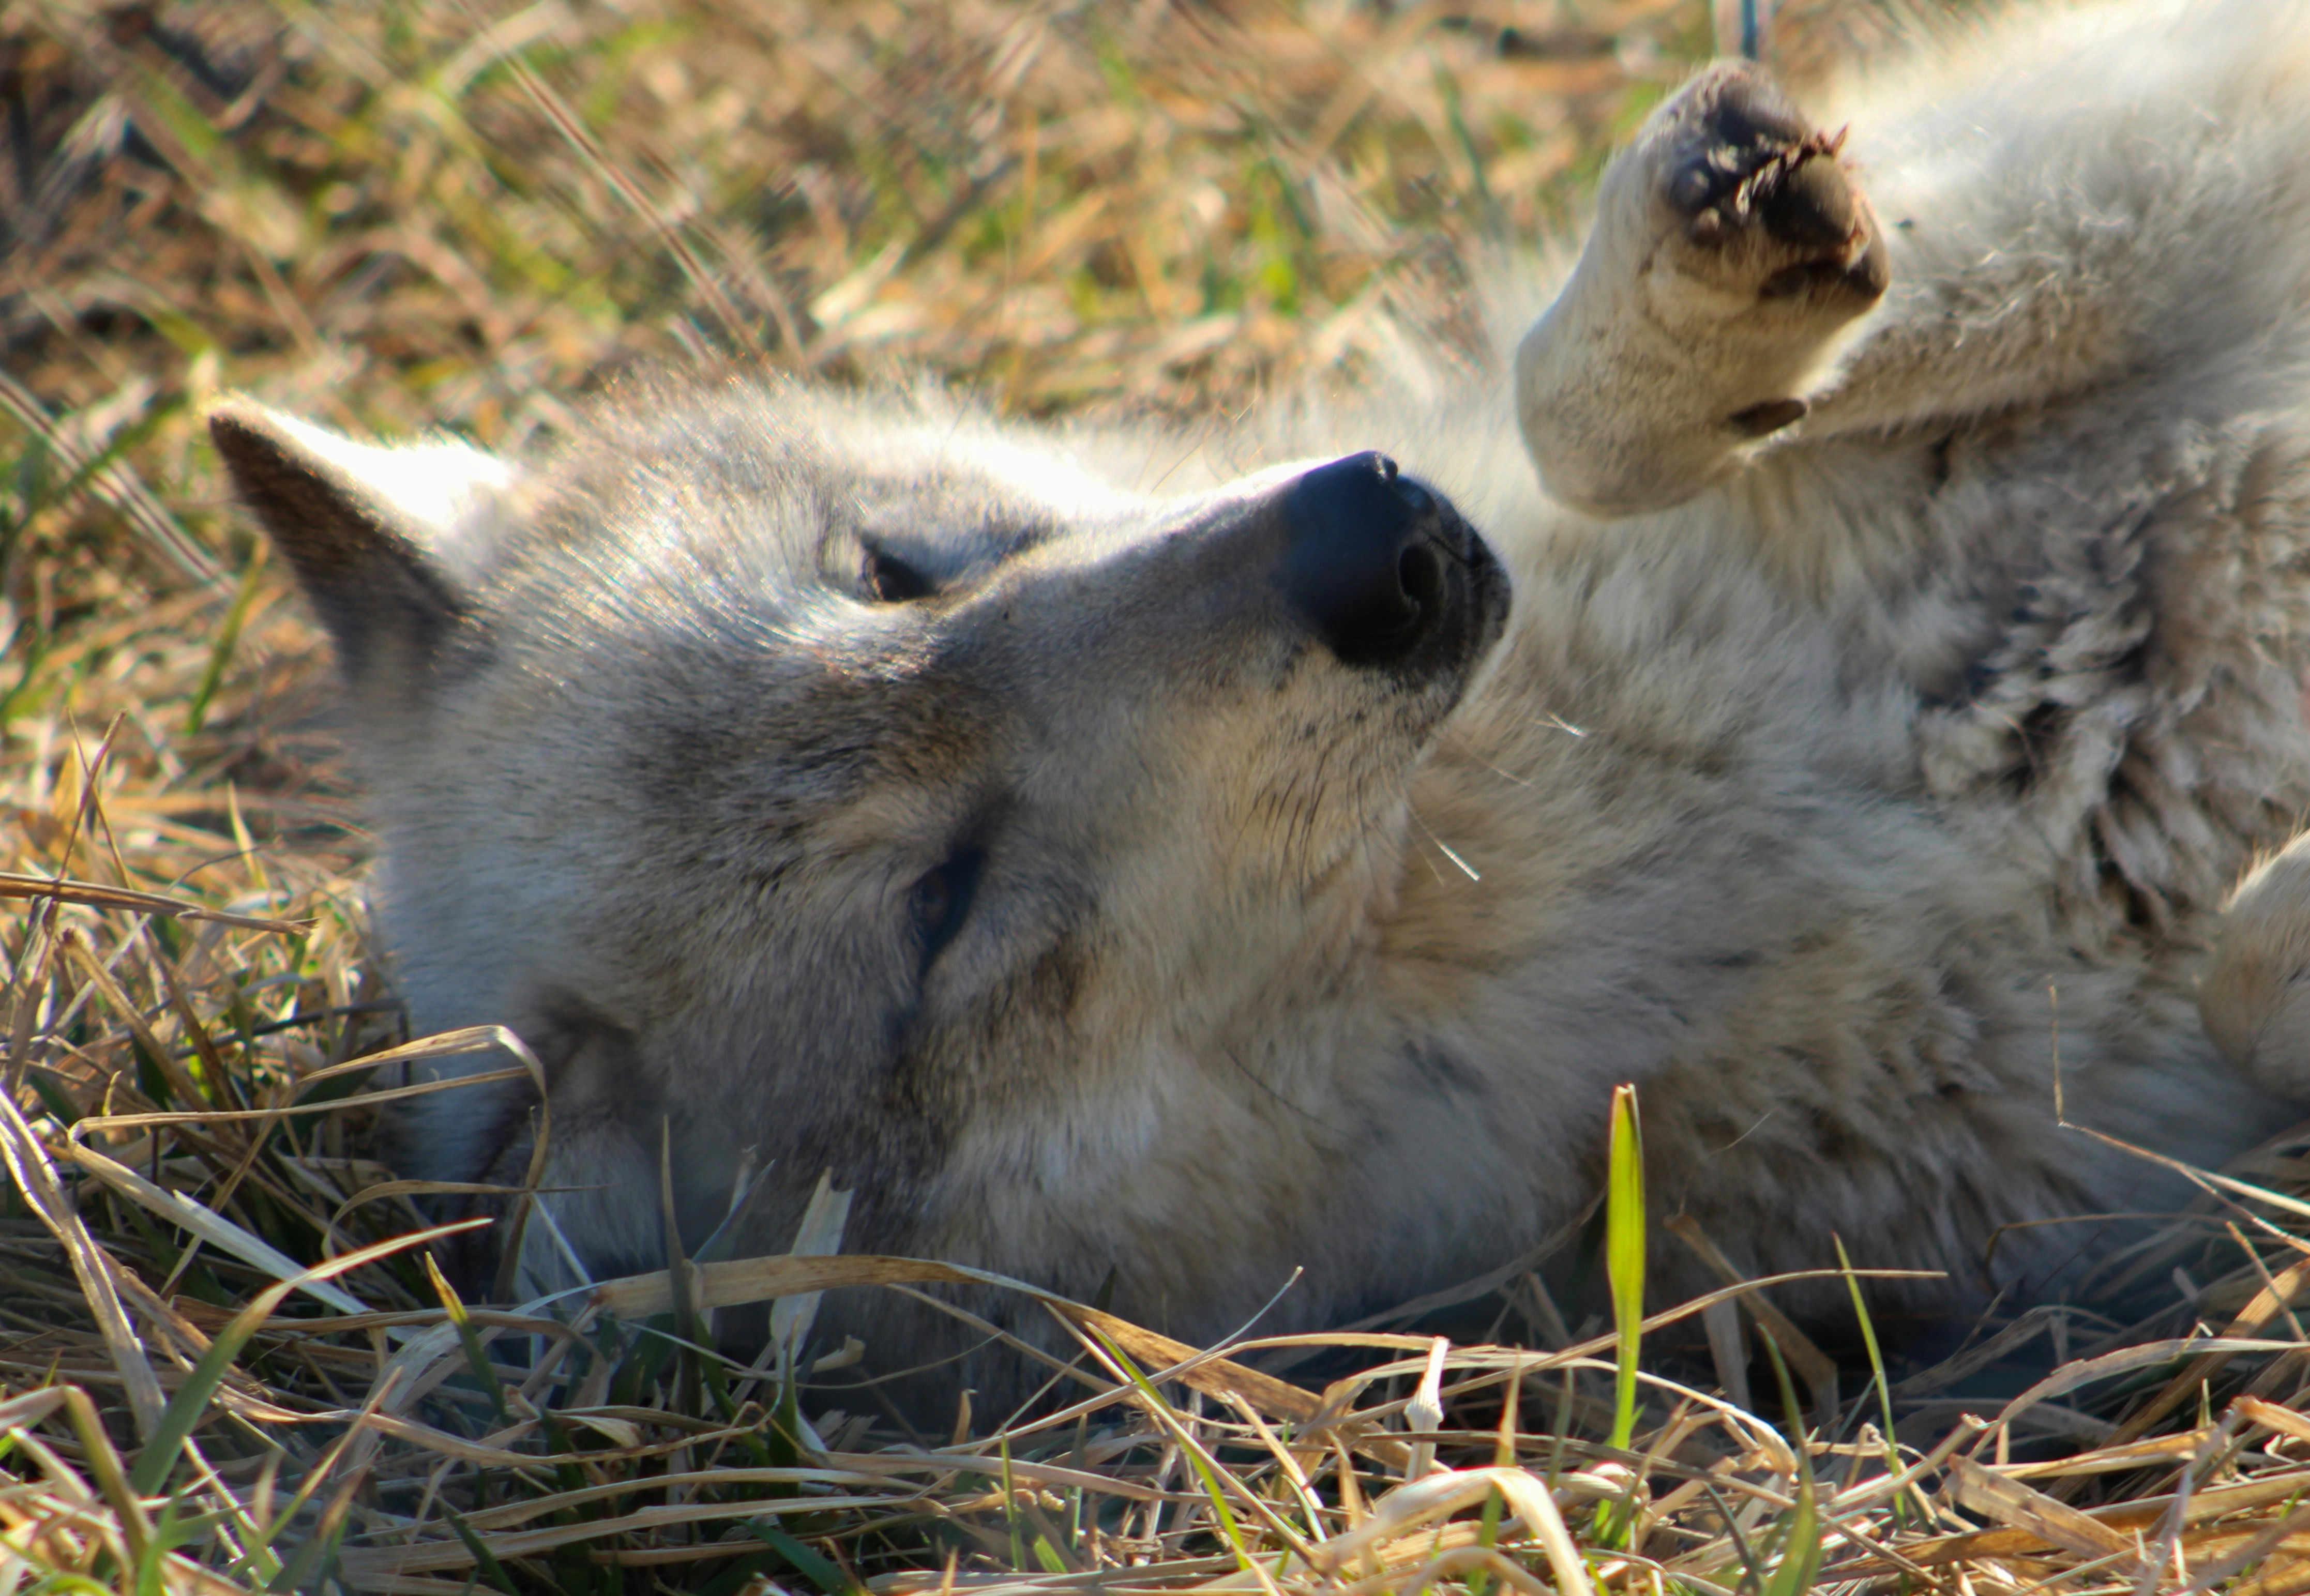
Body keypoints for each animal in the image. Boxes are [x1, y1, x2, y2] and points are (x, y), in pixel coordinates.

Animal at [213, 0, 2310, 1396]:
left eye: (892, 565)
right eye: (939, 912)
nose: (1371, 542)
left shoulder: (2154, 110)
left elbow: (1598, 402)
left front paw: (1724, 278)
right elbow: (2238, 970)